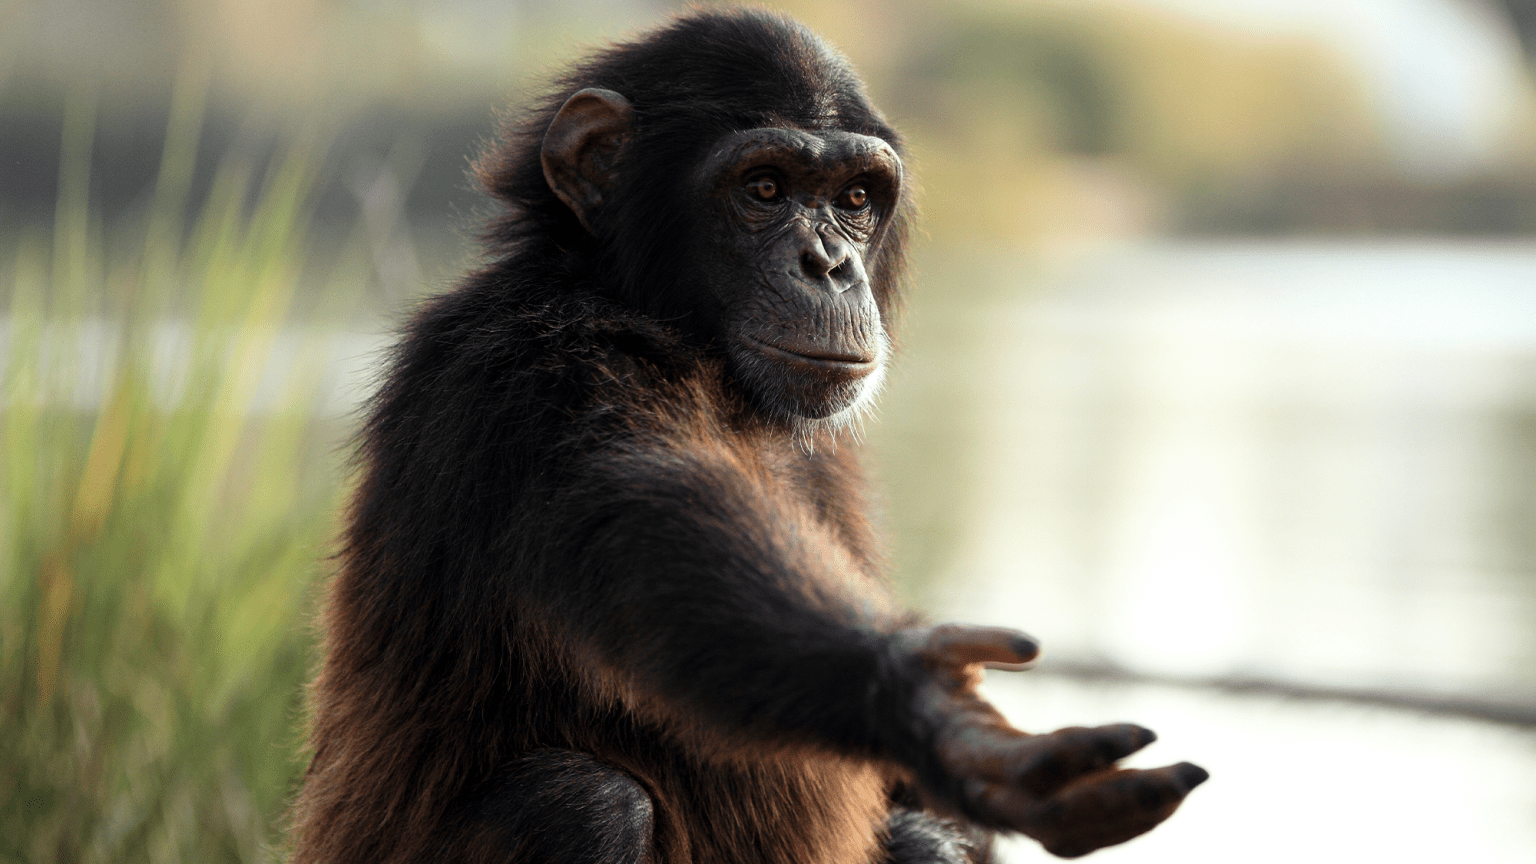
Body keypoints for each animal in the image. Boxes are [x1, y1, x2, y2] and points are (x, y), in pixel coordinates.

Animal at [288, 9, 1206, 864]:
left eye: (855, 200)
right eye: (764, 189)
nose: (828, 263)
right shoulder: (543, 375)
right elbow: (641, 519)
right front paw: (918, 699)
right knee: (581, 801)